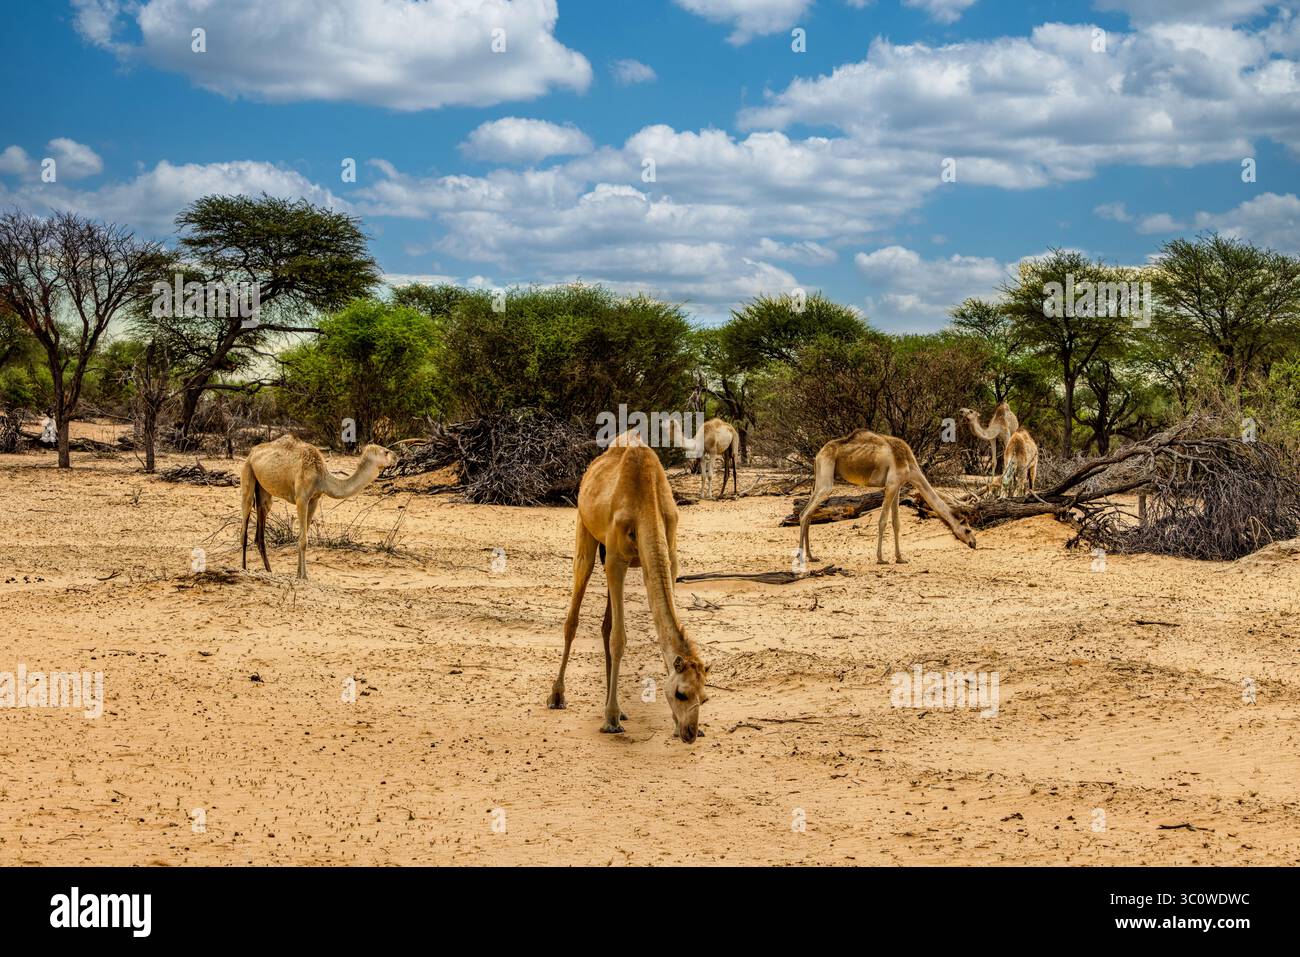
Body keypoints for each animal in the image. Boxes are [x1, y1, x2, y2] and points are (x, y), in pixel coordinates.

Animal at [240, 435, 398, 579]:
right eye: (386, 452)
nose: (397, 457)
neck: (321, 477)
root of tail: (252, 452)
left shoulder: (314, 500)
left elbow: (302, 537)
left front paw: (299, 574)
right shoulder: (301, 499)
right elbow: (303, 540)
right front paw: (304, 576)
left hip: (264, 490)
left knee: (261, 524)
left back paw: (269, 570)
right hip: (247, 472)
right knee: (245, 520)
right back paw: (243, 568)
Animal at [547, 444, 709, 743]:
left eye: (704, 698)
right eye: (681, 694)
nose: (690, 733)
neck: (647, 504)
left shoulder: (668, 558)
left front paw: (669, 723)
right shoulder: (615, 560)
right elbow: (619, 639)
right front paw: (610, 720)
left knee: (604, 625)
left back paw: (618, 709)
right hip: (585, 533)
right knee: (573, 619)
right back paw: (558, 696)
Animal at [797, 429, 977, 564]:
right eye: (967, 530)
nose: (973, 543)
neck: (910, 466)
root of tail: (818, 455)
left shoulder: (897, 487)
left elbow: (896, 523)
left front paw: (900, 558)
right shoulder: (891, 485)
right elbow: (882, 521)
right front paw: (881, 559)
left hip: (819, 480)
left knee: (807, 514)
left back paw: (812, 557)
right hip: (826, 479)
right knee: (804, 514)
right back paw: (800, 557)